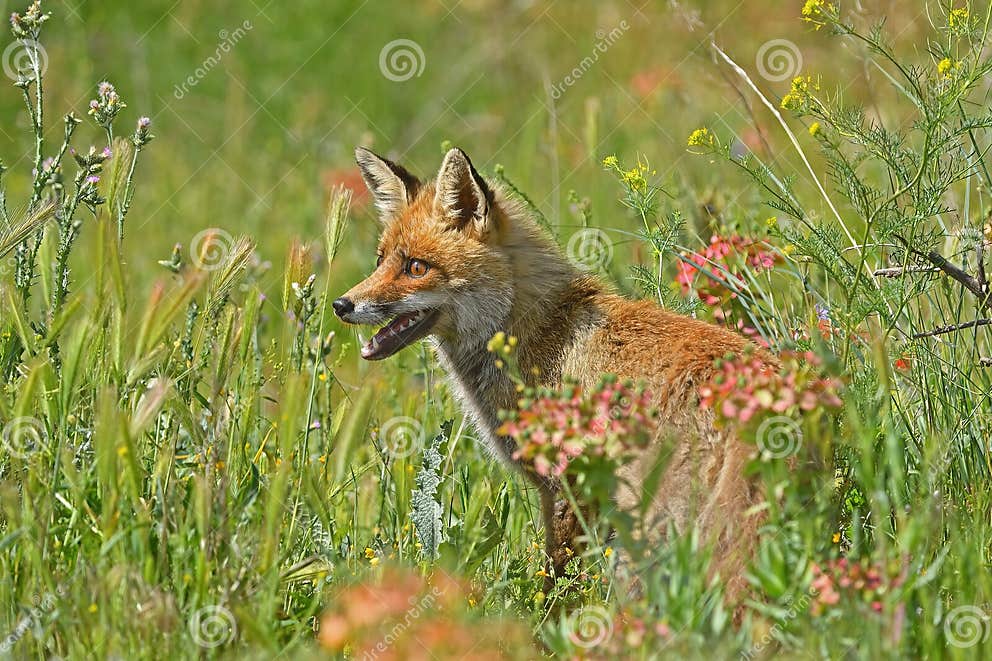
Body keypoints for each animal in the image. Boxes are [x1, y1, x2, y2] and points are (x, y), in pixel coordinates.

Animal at [334, 146, 766, 600]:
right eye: (380, 261)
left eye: (416, 268)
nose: (341, 305)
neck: (532, 331)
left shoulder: (569, 482)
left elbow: (558, 584)